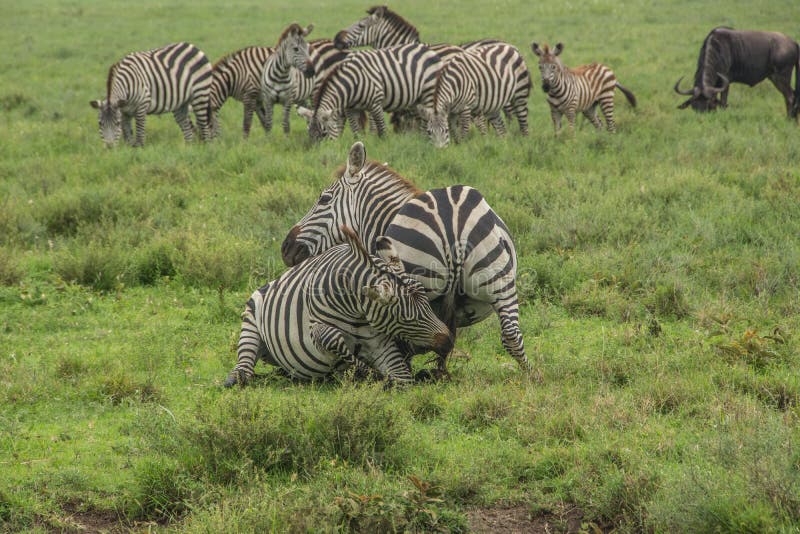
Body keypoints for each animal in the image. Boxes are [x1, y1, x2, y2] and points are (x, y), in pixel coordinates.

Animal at [224, 225, 453, 387]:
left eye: (428, 304)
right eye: (406, 319)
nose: (449, 342)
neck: (356, 311)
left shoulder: (380, 343)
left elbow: (402, 379)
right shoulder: (315, 329)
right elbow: (334, 338)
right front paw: (370, 374)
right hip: (251, 322)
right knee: (245, 363)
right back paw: (236, 378)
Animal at [281, 142, 529, 376]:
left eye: (324, 199)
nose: (285, 248)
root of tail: (452, 221)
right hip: (501, 281)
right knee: (511, 336)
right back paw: (529, 377)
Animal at [298, 43, 442, 140]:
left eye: (324, 133)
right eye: (309, 133)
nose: (315, 152)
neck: (352, 83)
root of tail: (427, 49)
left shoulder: (376, 103)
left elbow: (382, 129)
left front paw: (384, 143)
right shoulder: (350, 108)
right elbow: (356, 130)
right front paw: (359, 142)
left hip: (429, 91)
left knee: (427, 117)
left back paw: (425, 138)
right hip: (416, 98)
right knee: (420, 116)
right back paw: (419, 138)